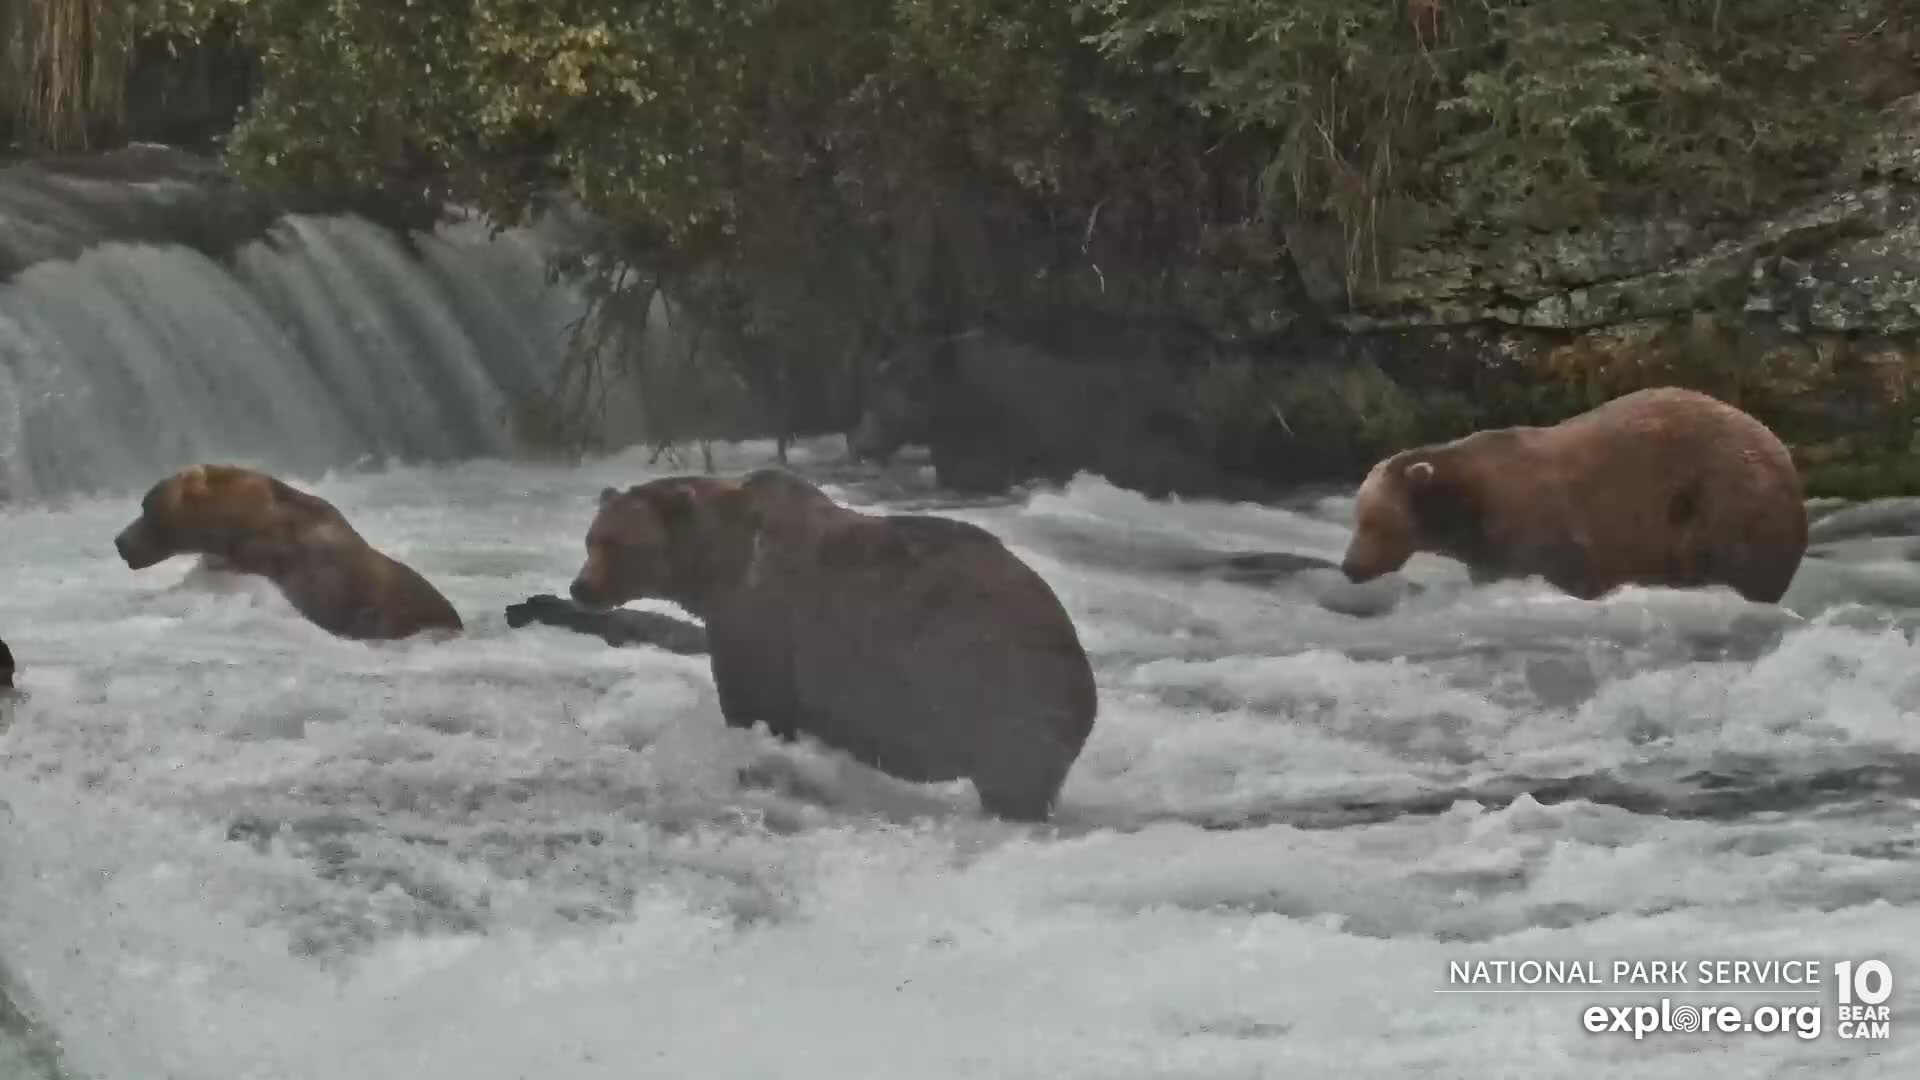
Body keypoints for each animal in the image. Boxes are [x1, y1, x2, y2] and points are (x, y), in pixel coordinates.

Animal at [566, 468, 1099, 821]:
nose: (580, 587)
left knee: (1014, 779)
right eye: (591, 538)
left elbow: (755, 705)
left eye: (617, 543)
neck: (714, 567)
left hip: (1000, 685)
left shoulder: (762, 619)